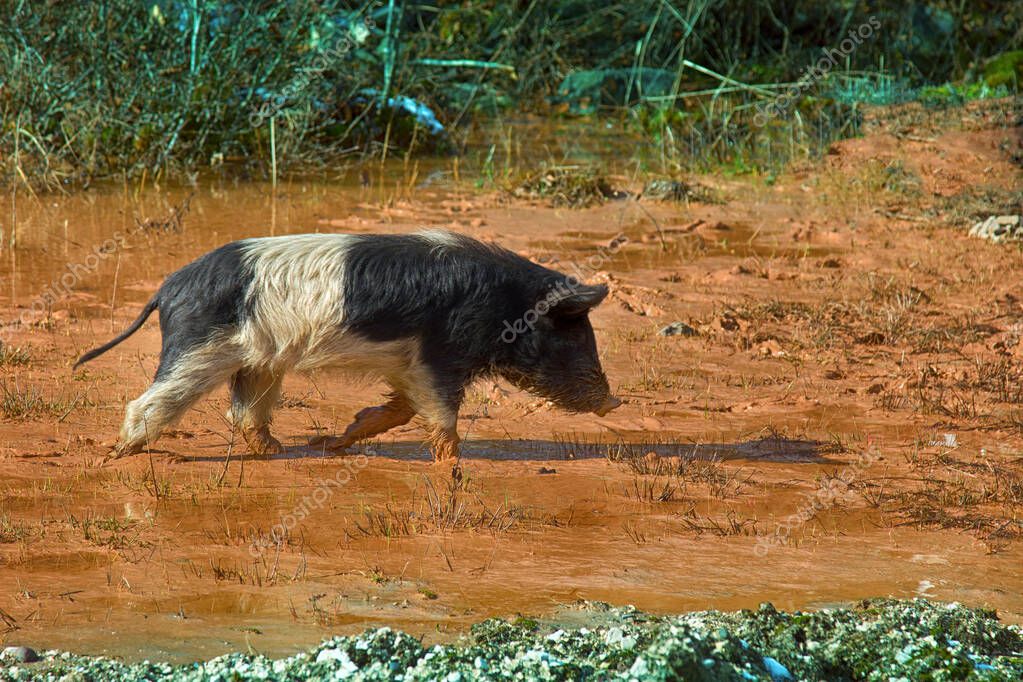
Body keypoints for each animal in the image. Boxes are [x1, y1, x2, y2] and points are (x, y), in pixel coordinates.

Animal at [75, 230, 621, 461]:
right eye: (573, 335)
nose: (614, 401)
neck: (504, 304)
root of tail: (168, 289)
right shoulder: (439, 355)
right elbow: (442, 417)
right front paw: (451, 463)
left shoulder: (408, 363)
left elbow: (400, 410)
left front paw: (337, 442)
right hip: (199, 349)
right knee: (150, 401)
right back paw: (118, 454)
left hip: (257, 360)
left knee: (244, 411)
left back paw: (281, 450)